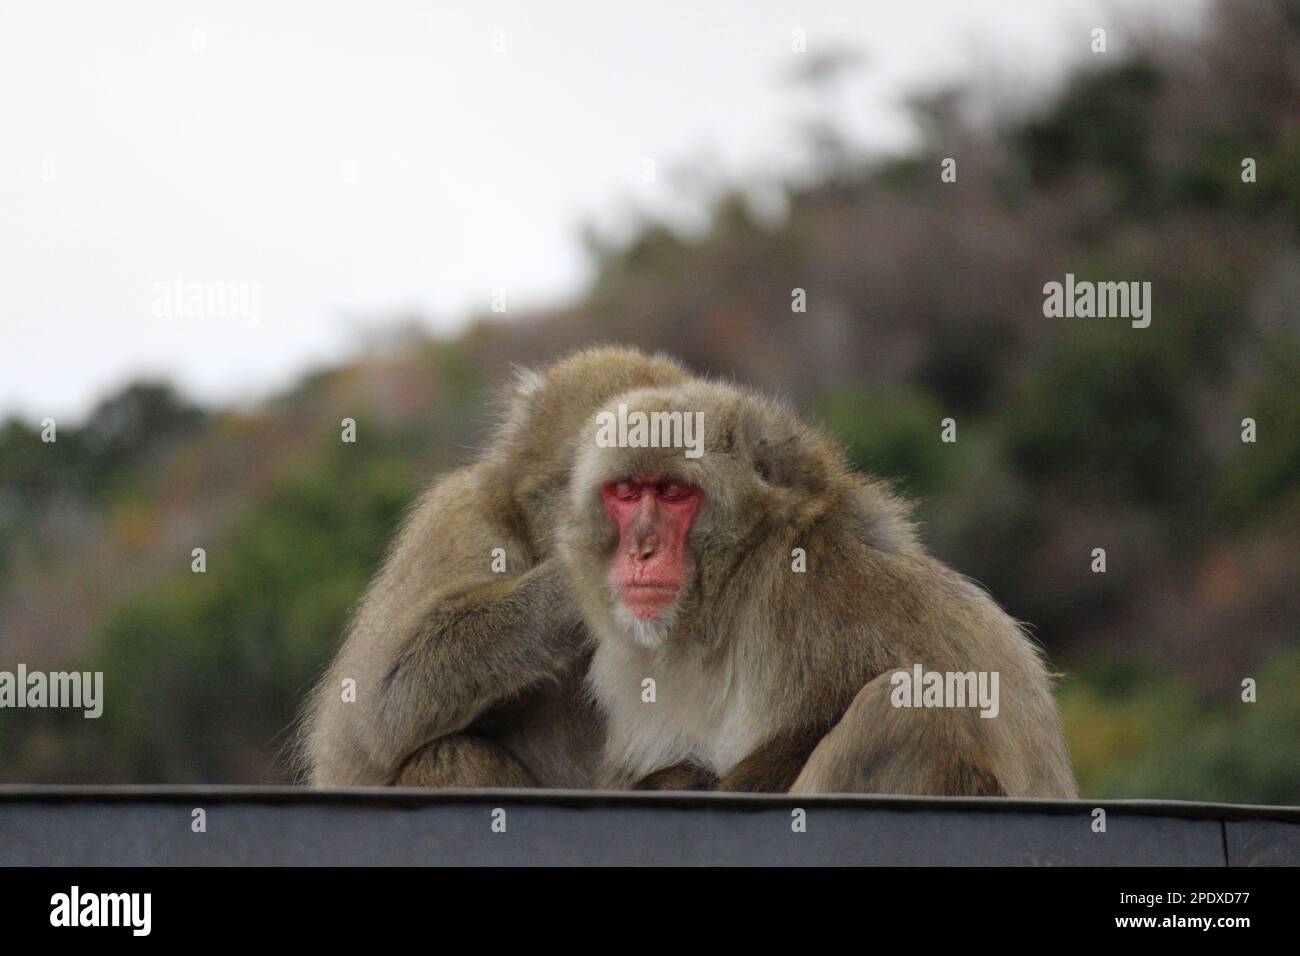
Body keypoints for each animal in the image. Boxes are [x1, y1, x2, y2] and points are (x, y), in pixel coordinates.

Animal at [301, 346, 689, 788]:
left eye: (672, 492)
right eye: (617, 487)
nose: (645, 541)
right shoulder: (456, 520)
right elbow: (377, 708)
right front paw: (578, 585)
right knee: (450, 754)